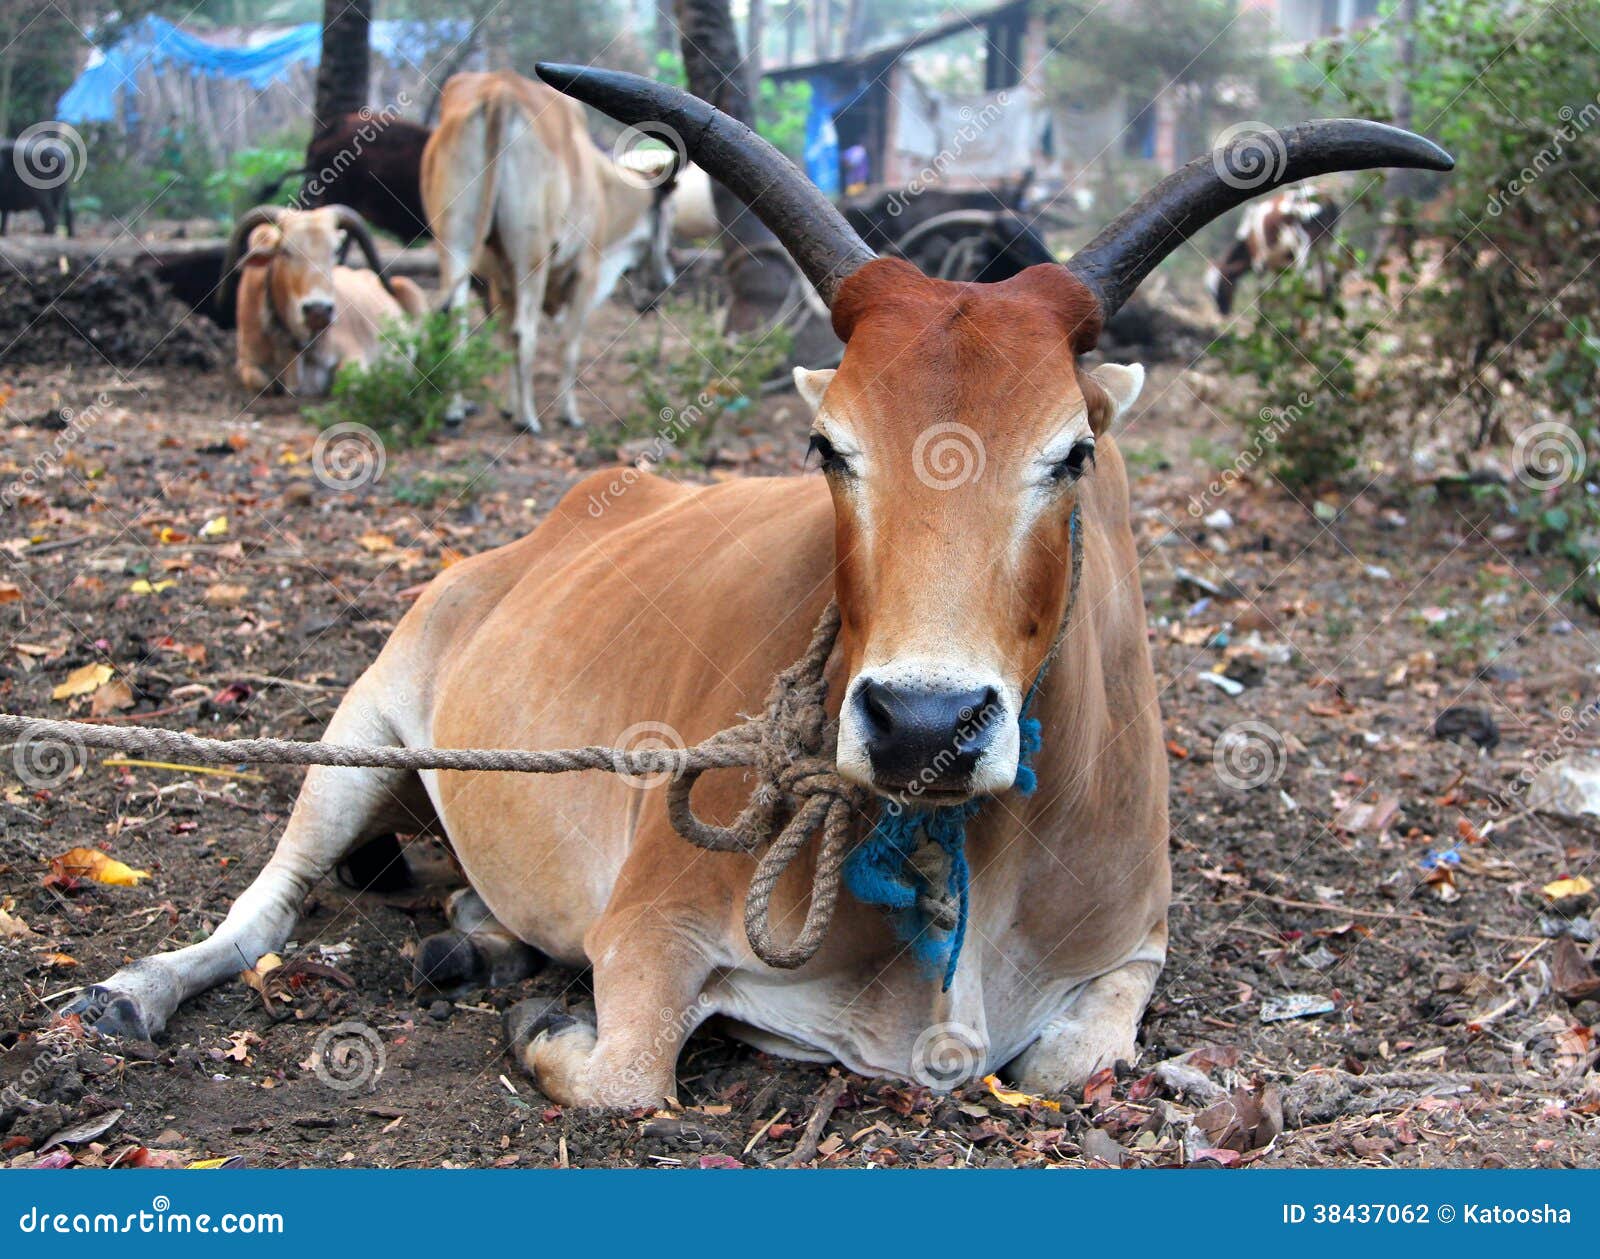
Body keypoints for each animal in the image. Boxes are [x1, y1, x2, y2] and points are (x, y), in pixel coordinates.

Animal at [221, 204, 427, 396]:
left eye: (335, 250)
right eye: (285, 250)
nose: (318, 310)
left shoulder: (355, 355)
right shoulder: (246, 362)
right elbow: (259, 381)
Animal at [421, 71, 678, 433]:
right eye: (672, 215)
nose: (666, 280)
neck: (602, 181)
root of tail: (500, 89)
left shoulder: (501, 282)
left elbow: (505, 340)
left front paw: (509, 406)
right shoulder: (586, 272)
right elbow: (567, 345)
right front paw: (567, 414)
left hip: (455, 246)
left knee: (458, 328)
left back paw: (455, 410)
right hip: (533, 256)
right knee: (525, 333)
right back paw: (528, 420)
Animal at [1205, 185, 1341, 315]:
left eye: (1221, 285)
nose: (1222, 311)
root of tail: (1324, 197)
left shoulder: (1259, 263)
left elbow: (1261, 293)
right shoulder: (1277, 266)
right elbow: (1277, 290)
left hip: (1303, 245)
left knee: (1306, 279)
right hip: (1328, 242)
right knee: (1328, 281)